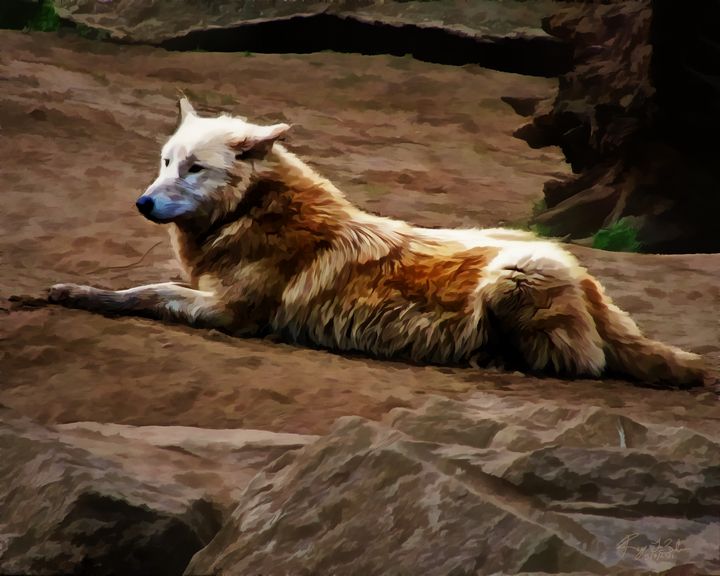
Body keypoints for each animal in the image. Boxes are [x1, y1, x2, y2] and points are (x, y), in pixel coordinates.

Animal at [49, 98, 706, 386]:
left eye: (194, 169)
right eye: (166, 162)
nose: (142, 203)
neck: (253, 213)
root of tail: (590, 278)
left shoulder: (234, 313)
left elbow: (144, 292)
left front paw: (80, 293)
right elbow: (143, 286)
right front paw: (75, 289)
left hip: (516, 273)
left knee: (583, 365)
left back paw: (490, 358)